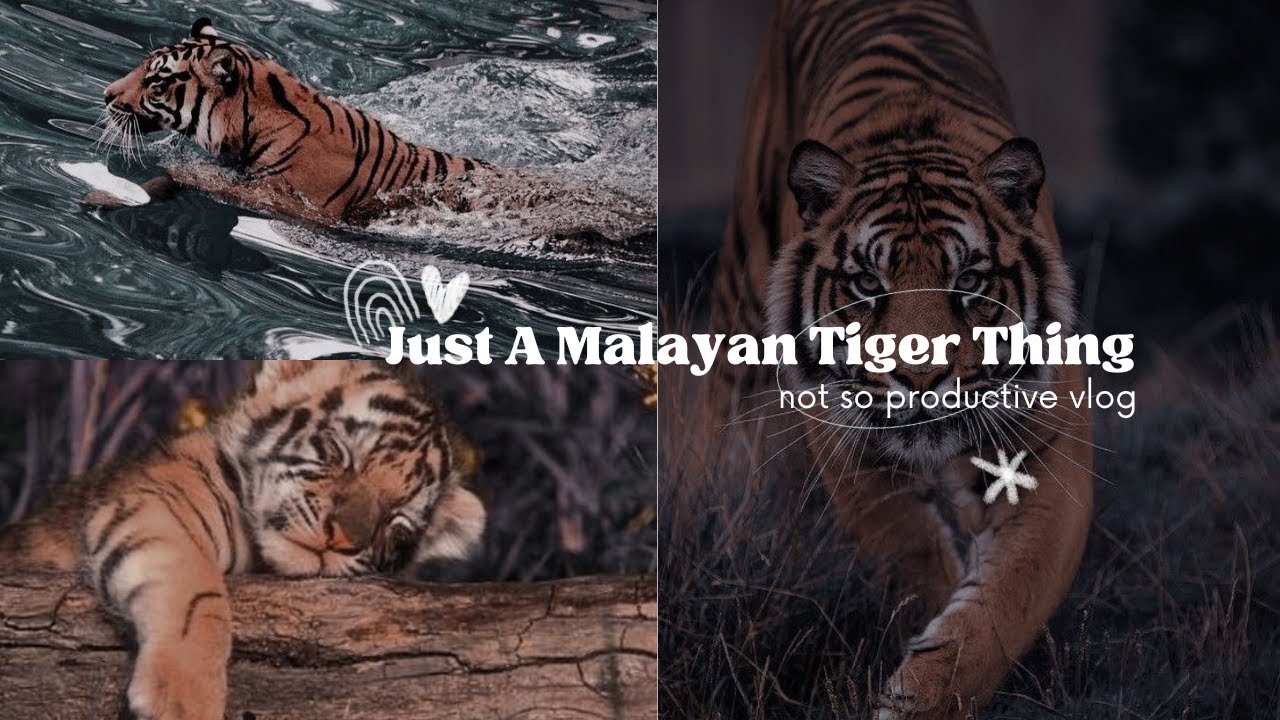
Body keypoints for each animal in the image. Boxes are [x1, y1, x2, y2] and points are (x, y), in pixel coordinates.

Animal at [0, 360, 486, 720]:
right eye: (339, 453)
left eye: (397, 520)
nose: (342, 539)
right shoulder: (152, 503)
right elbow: (196, 595)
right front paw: (183, 700)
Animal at [708, 1, 1093, 717]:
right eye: (867, 284)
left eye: (968, 281)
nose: (921, 377)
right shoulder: (844, 438)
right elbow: (907, 546)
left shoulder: (1047, 453)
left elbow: (1004, 603)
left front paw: (928, 686)